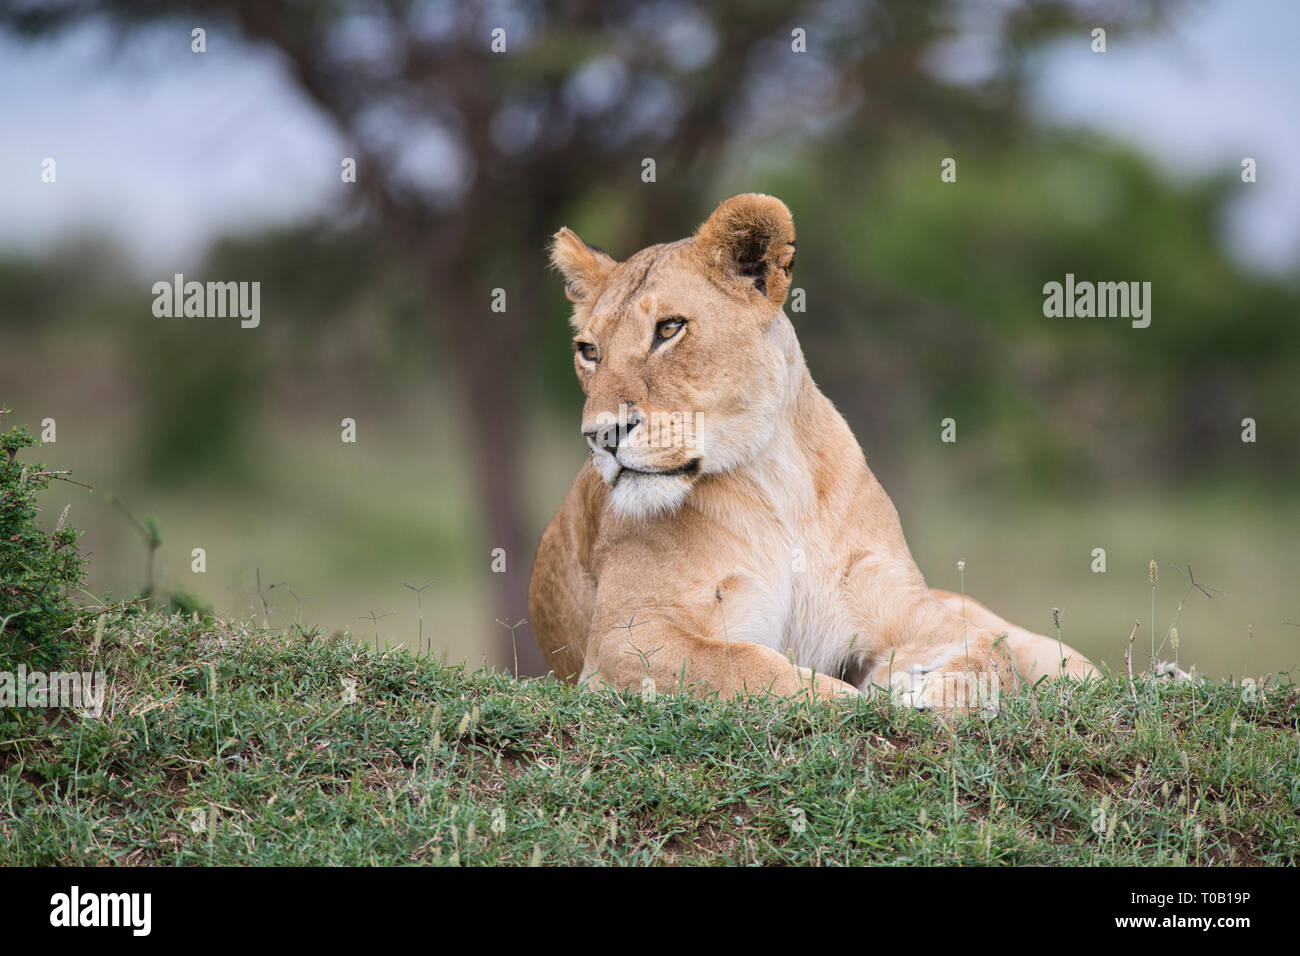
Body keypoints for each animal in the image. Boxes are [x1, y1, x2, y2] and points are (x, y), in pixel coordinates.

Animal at [529, 193, 1096, 708]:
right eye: (589, 351)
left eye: (669, 329)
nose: (601, 435)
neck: (776, 478)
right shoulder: (623, 639)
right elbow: (742, 666)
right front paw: (860, 697)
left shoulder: (909, 612)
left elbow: (991, 651)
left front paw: (935, 690)